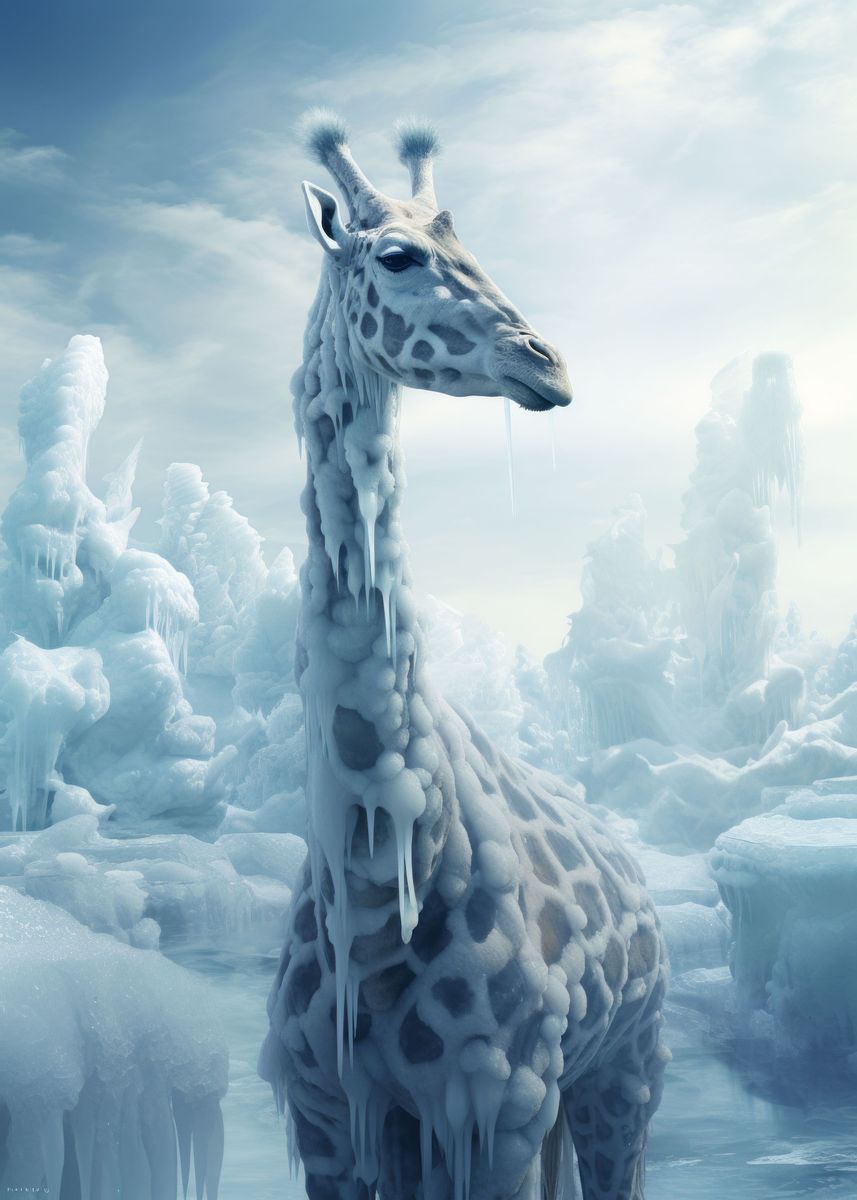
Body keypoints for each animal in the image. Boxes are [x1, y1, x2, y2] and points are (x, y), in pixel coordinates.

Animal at [260, 112, 669, 1200]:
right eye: (396, 255)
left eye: (471, 245)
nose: (548, 365)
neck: (374, 884)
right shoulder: (333, 1120)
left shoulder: (500, 1101)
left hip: (623, 1073)